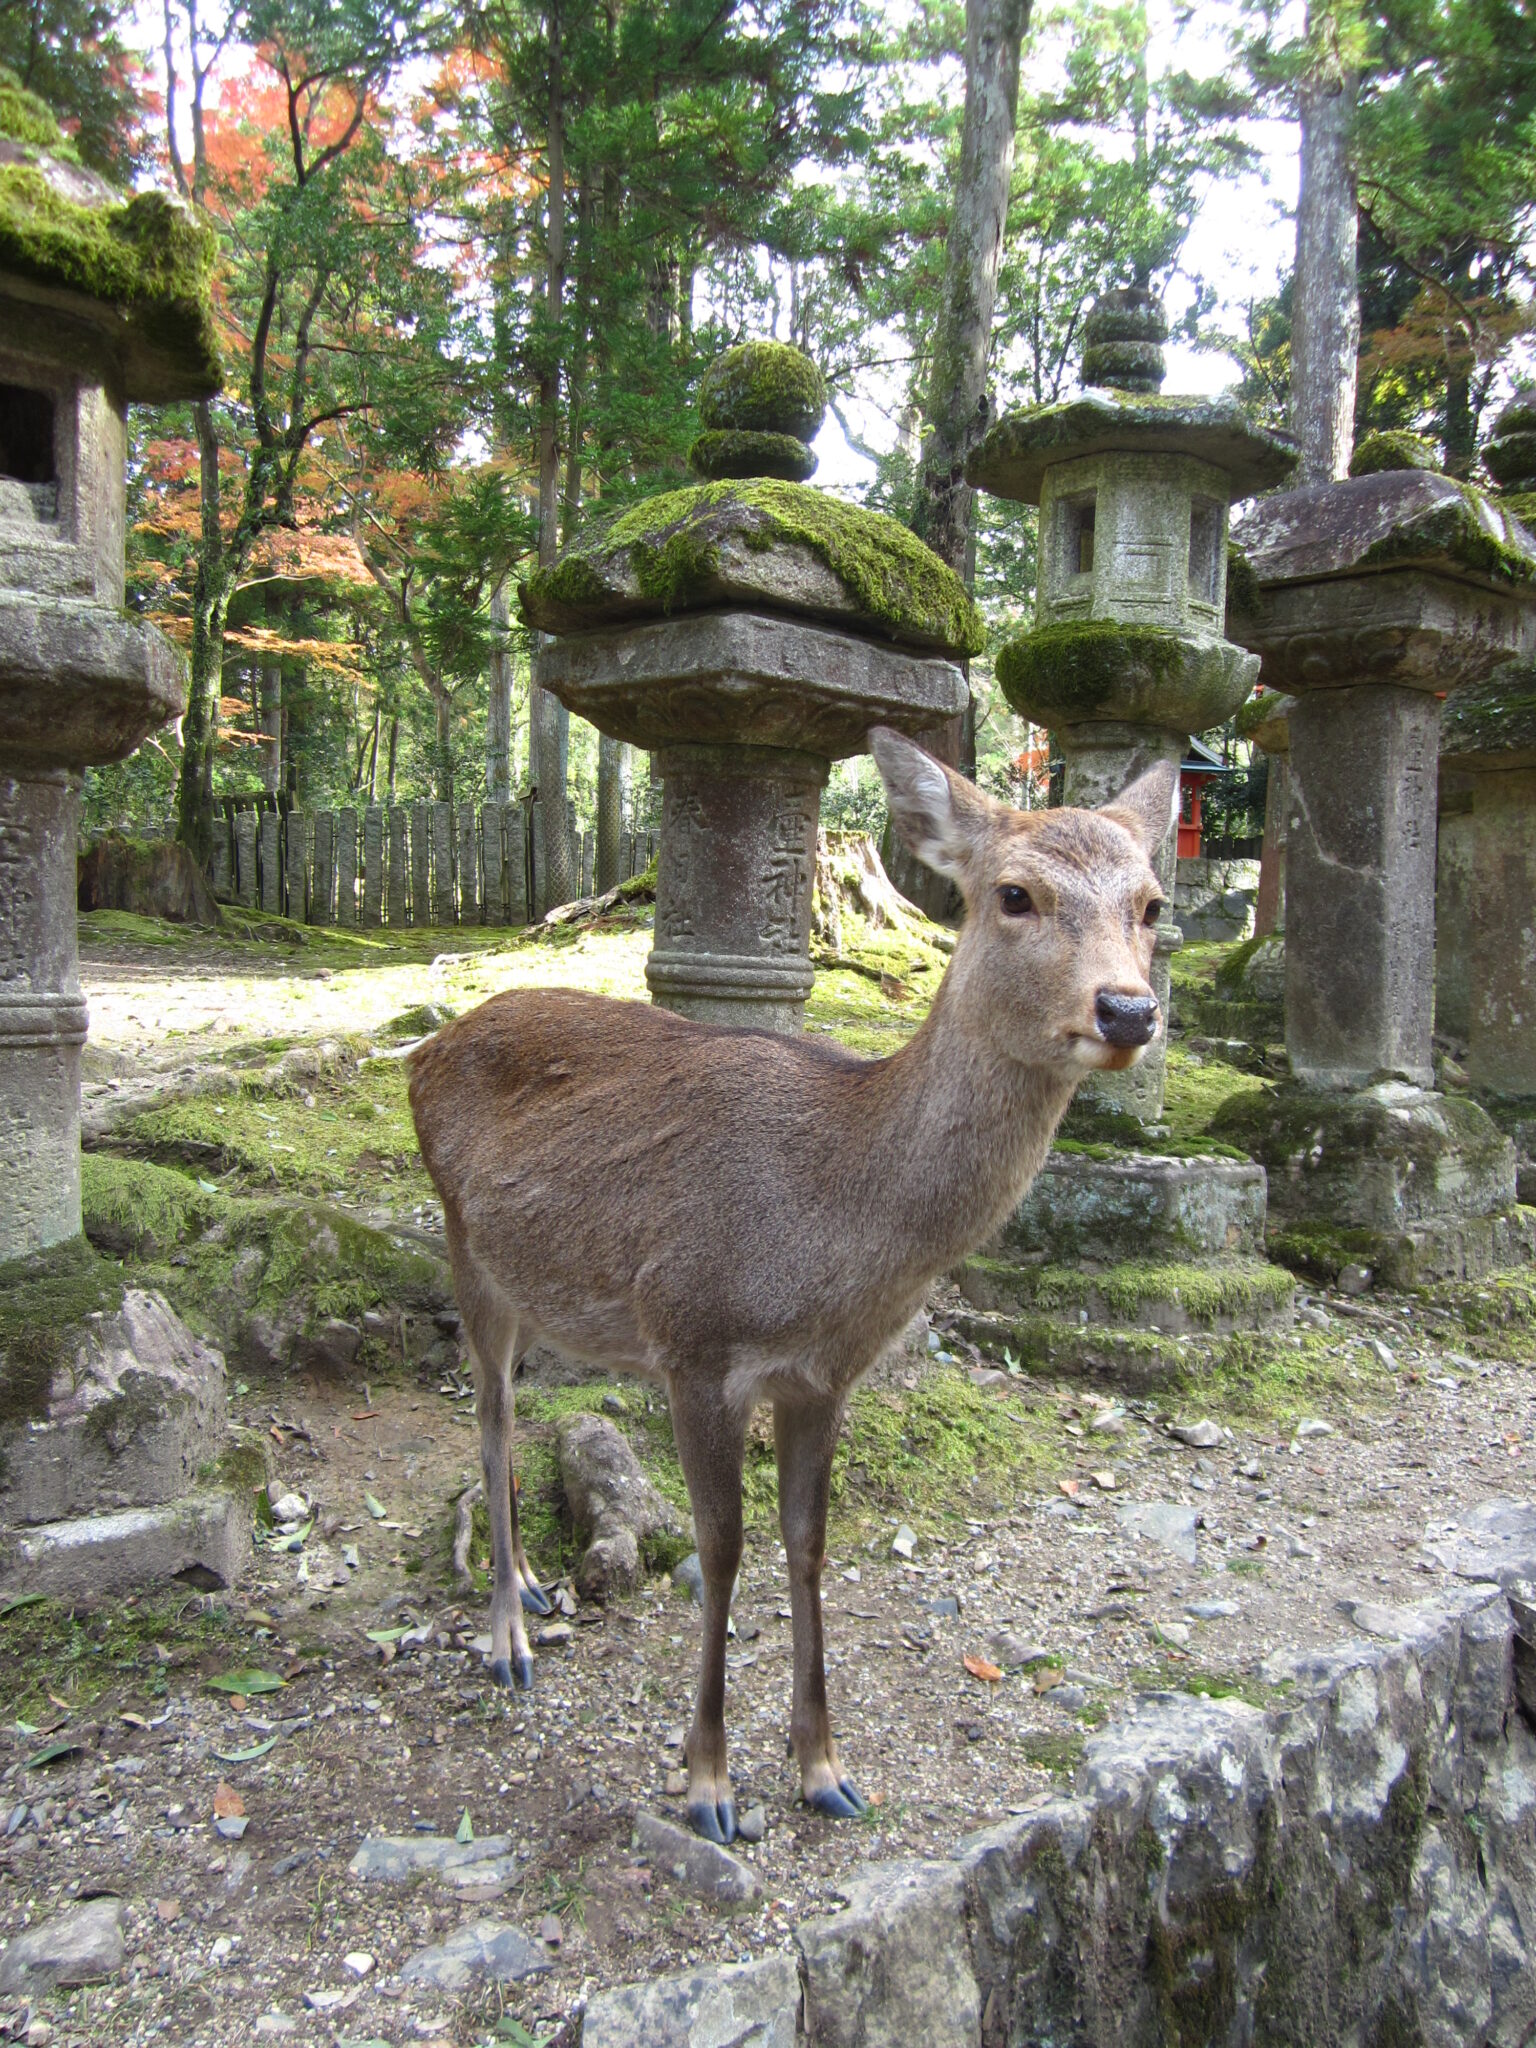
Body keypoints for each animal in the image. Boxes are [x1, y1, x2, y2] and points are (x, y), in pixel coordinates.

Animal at [407, 727, 1175, 1845]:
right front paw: (707, 1783)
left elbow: (808, 1544)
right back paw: (506, 1631)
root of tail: (420, 1051)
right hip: (464, 1244)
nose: (1127, 1009)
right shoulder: (694, 1342)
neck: (833, 1233)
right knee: (490, 1415)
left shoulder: (824, 1375)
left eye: (1153, 903)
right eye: (1015, 894)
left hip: (542, 1279)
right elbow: (722, 1549)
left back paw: (540, 1587)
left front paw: (823, 1767)